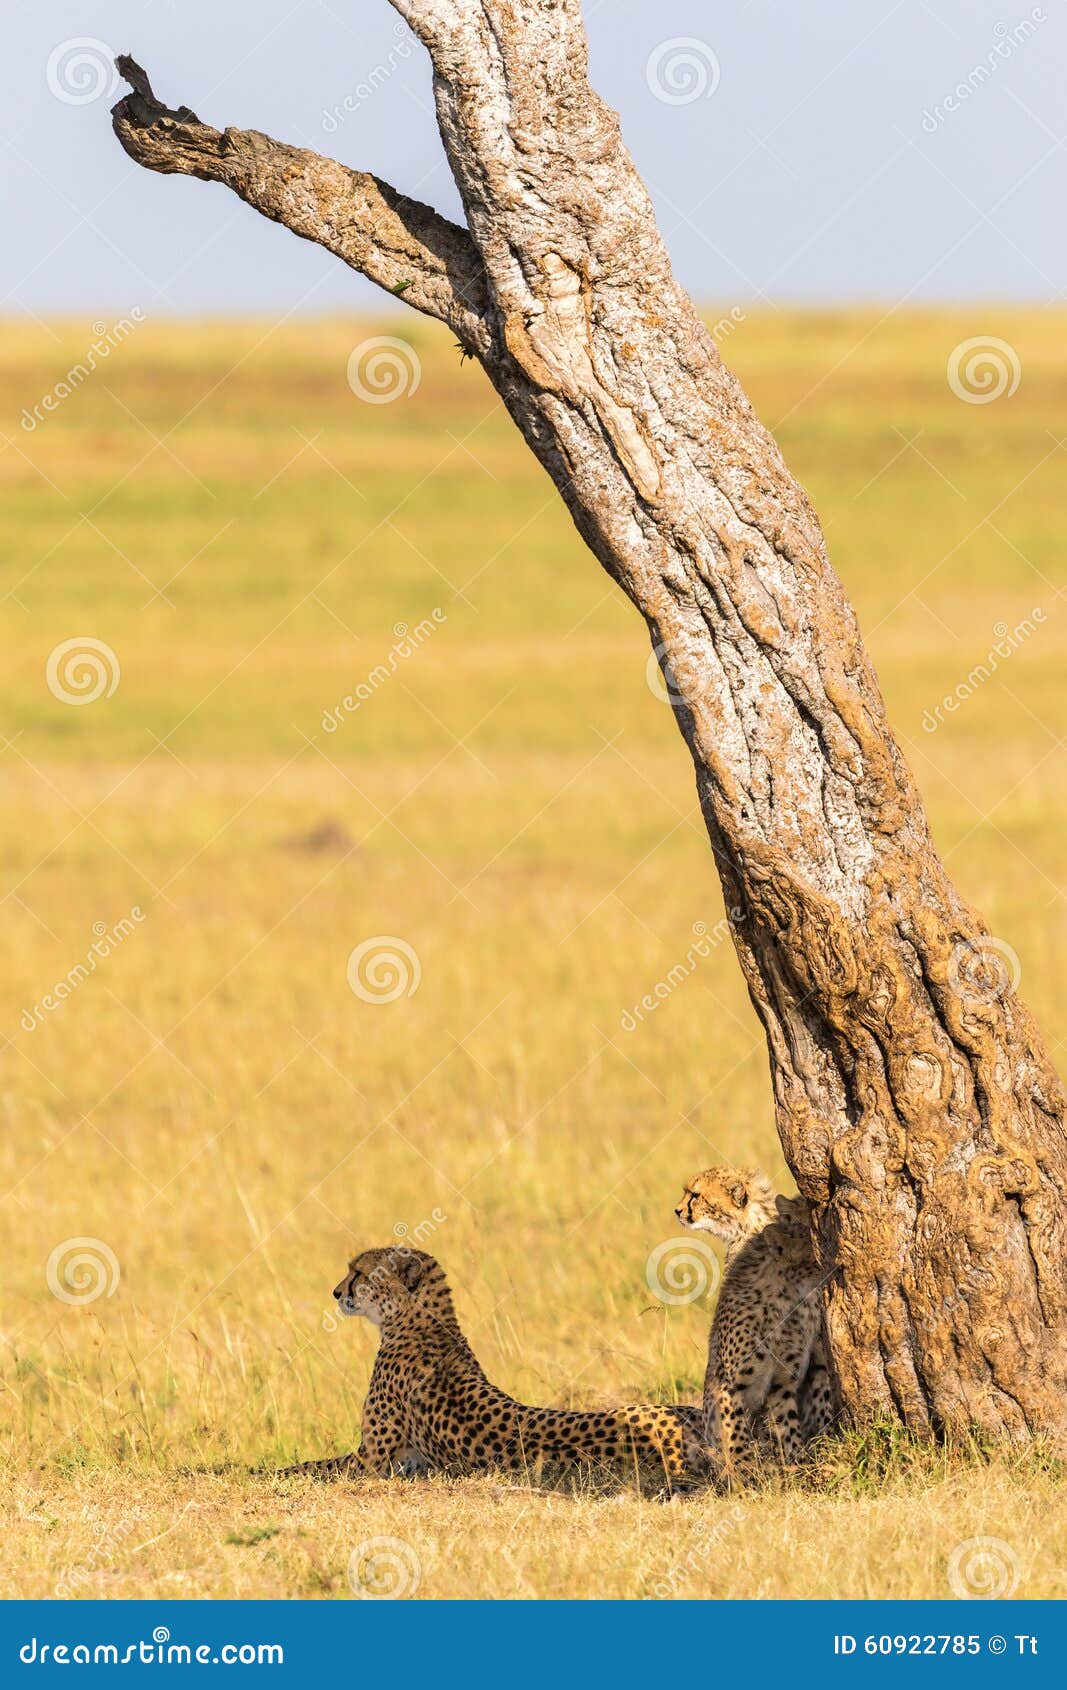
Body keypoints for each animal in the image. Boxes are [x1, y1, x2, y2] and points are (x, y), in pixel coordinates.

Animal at [273, 1245, 712, 1490]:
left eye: (359, 1272)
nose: (335, 1292)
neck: (417, 1321)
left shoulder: (372, 1462)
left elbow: (309, 1466)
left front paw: (268, 1471)